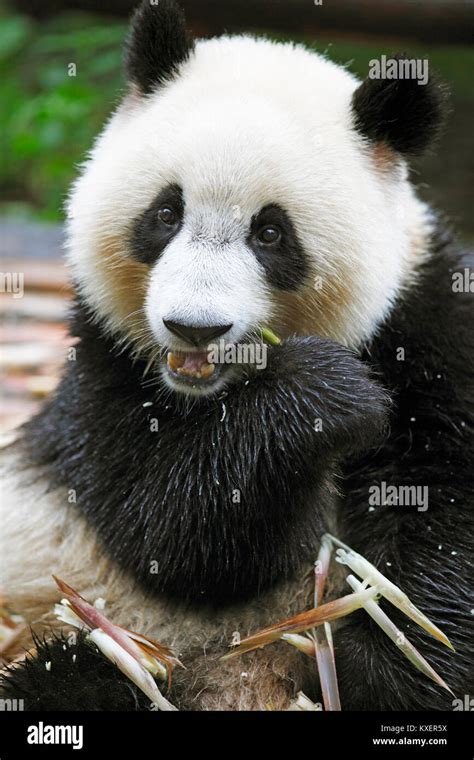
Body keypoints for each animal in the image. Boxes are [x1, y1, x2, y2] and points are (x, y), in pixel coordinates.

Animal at [0, 0, 472, 712]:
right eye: (166, 213)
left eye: (271, 233)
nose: (193, 328)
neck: (213, 396)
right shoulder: (103, 360)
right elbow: (167, 533)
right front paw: (327, 393)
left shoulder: (428, 322)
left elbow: (445, 500)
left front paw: (388, 665)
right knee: (77, 669)